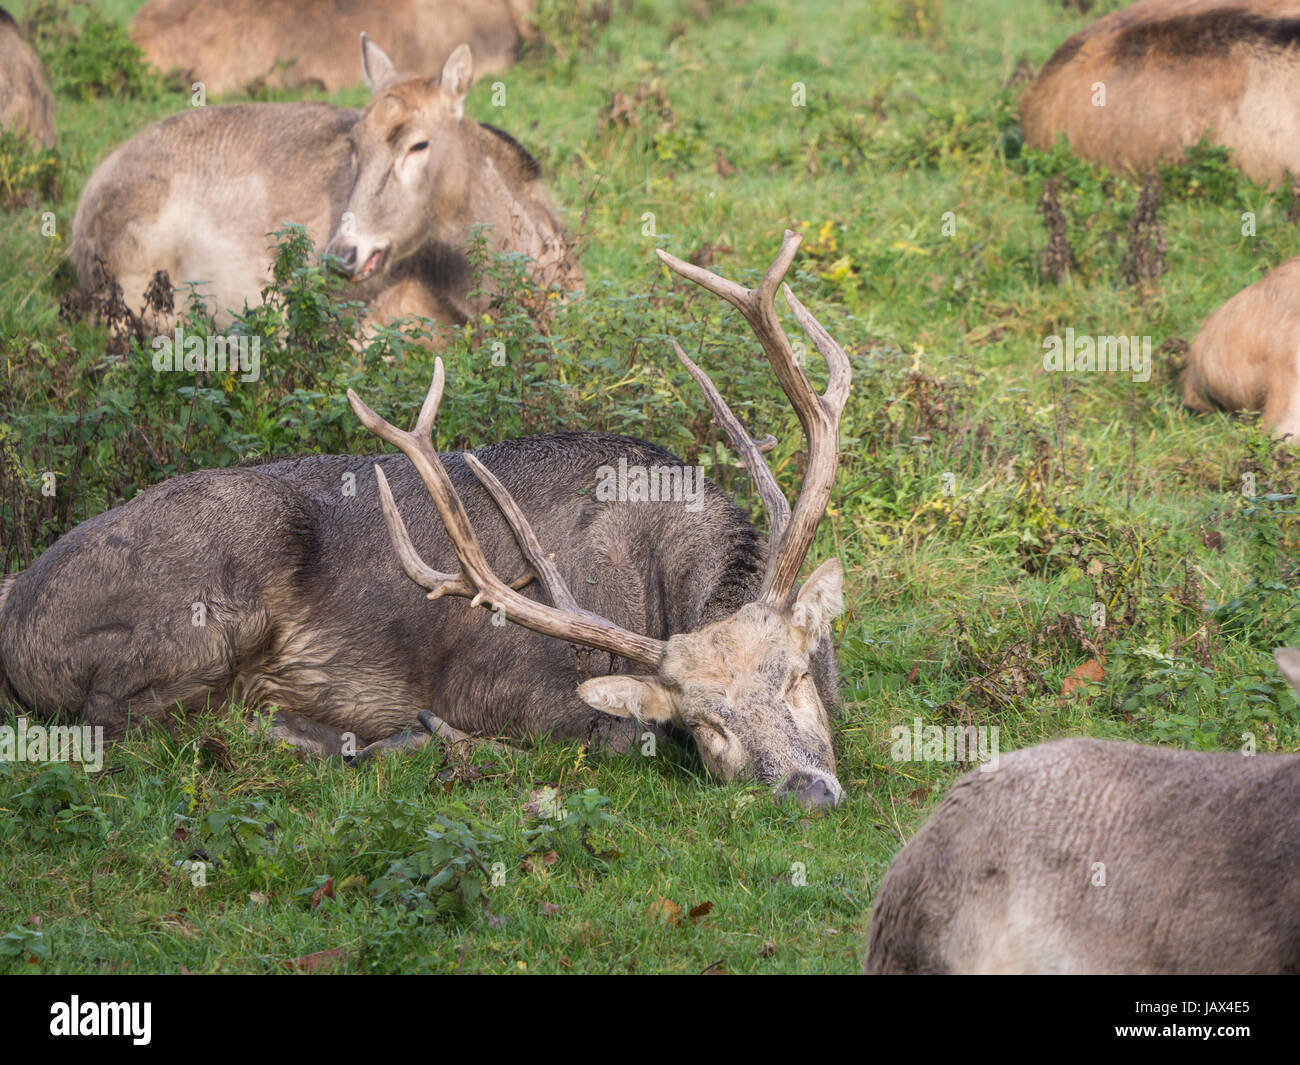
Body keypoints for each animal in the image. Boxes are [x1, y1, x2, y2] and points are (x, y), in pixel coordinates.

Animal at [0, 232, 852, 809]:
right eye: (705, 724)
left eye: (799, 675)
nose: (810, 790)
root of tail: (15, 621)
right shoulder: (496, 680)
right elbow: (613, 736)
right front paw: (436, 736)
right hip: (219, 588)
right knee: (122, 719)